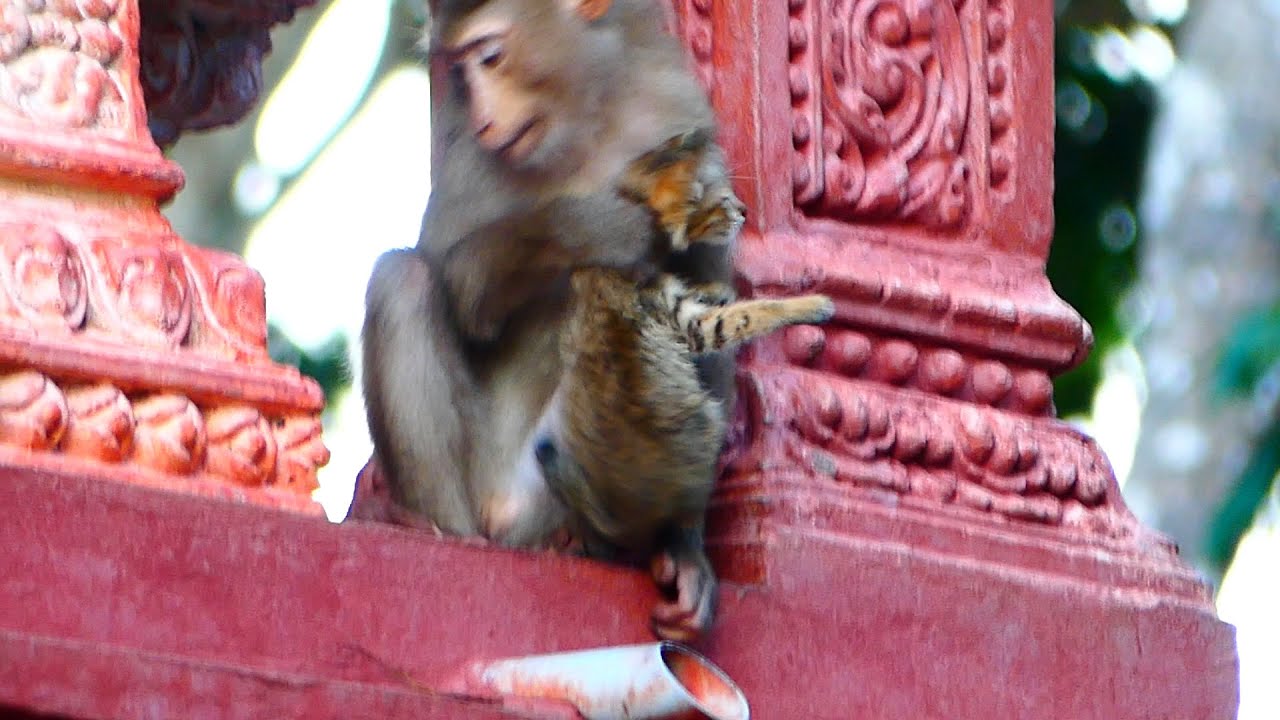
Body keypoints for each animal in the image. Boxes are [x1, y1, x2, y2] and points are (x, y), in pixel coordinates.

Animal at [358, 0, 738, 640]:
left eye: (489, 57)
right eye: (459, 71)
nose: (484, 116)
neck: (586, 124)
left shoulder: (683, 117)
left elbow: (710, 301)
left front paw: (685, 550)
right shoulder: (470, 154)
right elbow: (462, 285)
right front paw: (607, 225)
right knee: (404, 279)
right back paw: (441, 535)